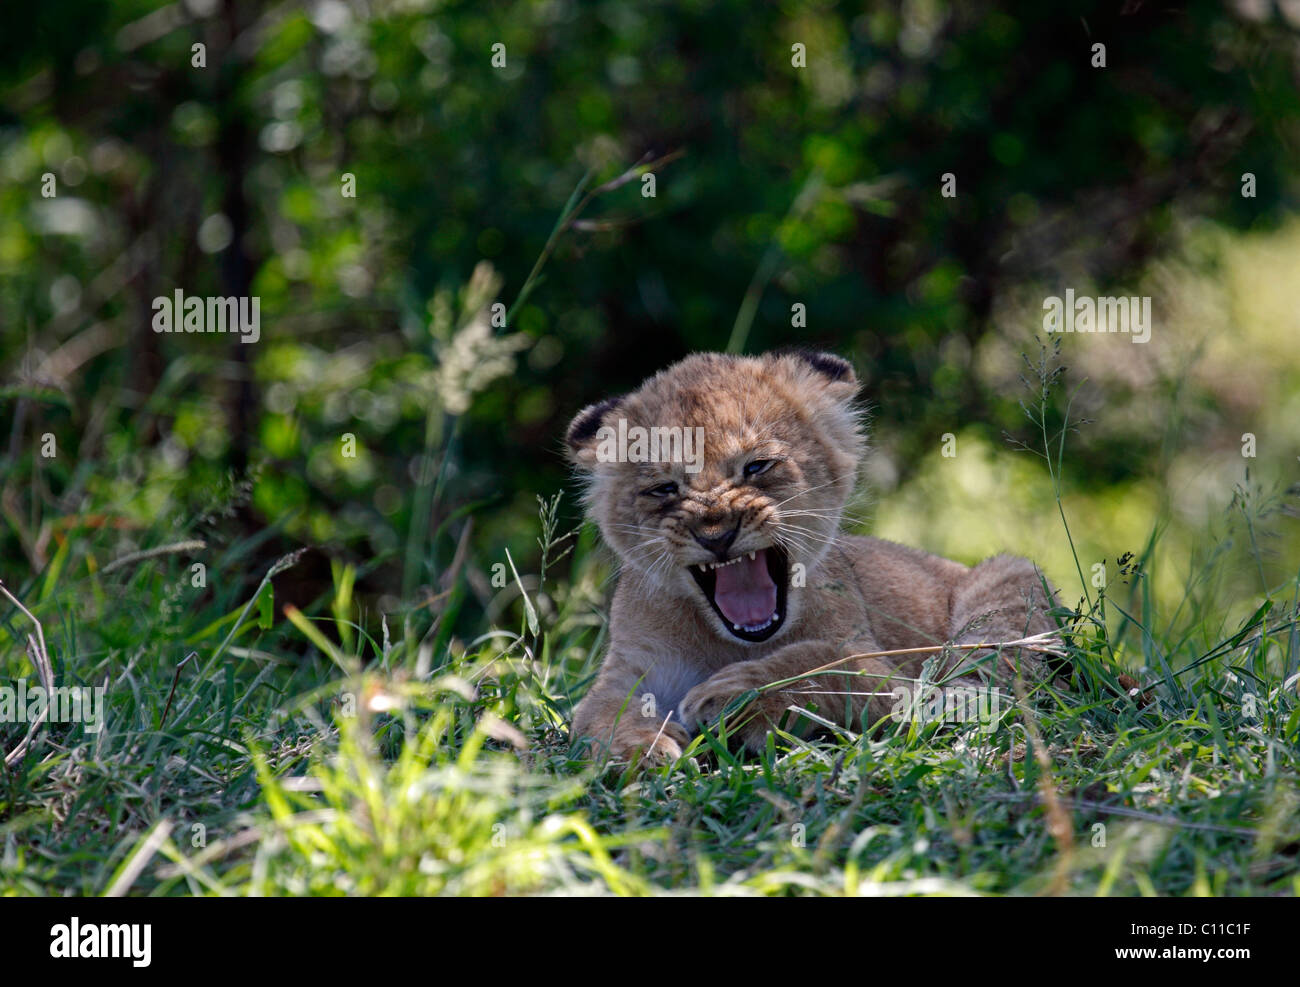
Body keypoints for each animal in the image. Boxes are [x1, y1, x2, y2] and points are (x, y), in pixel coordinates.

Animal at [565, 349, 1060, 763]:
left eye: (757, 466)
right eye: (664, 489)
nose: (716, 532)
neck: (730, 642)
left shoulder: (881, 670)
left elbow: (818, 664)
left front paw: (732, 697)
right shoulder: (629, 668)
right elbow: (603, 712)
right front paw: (638, 750)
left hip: (1009, 581)